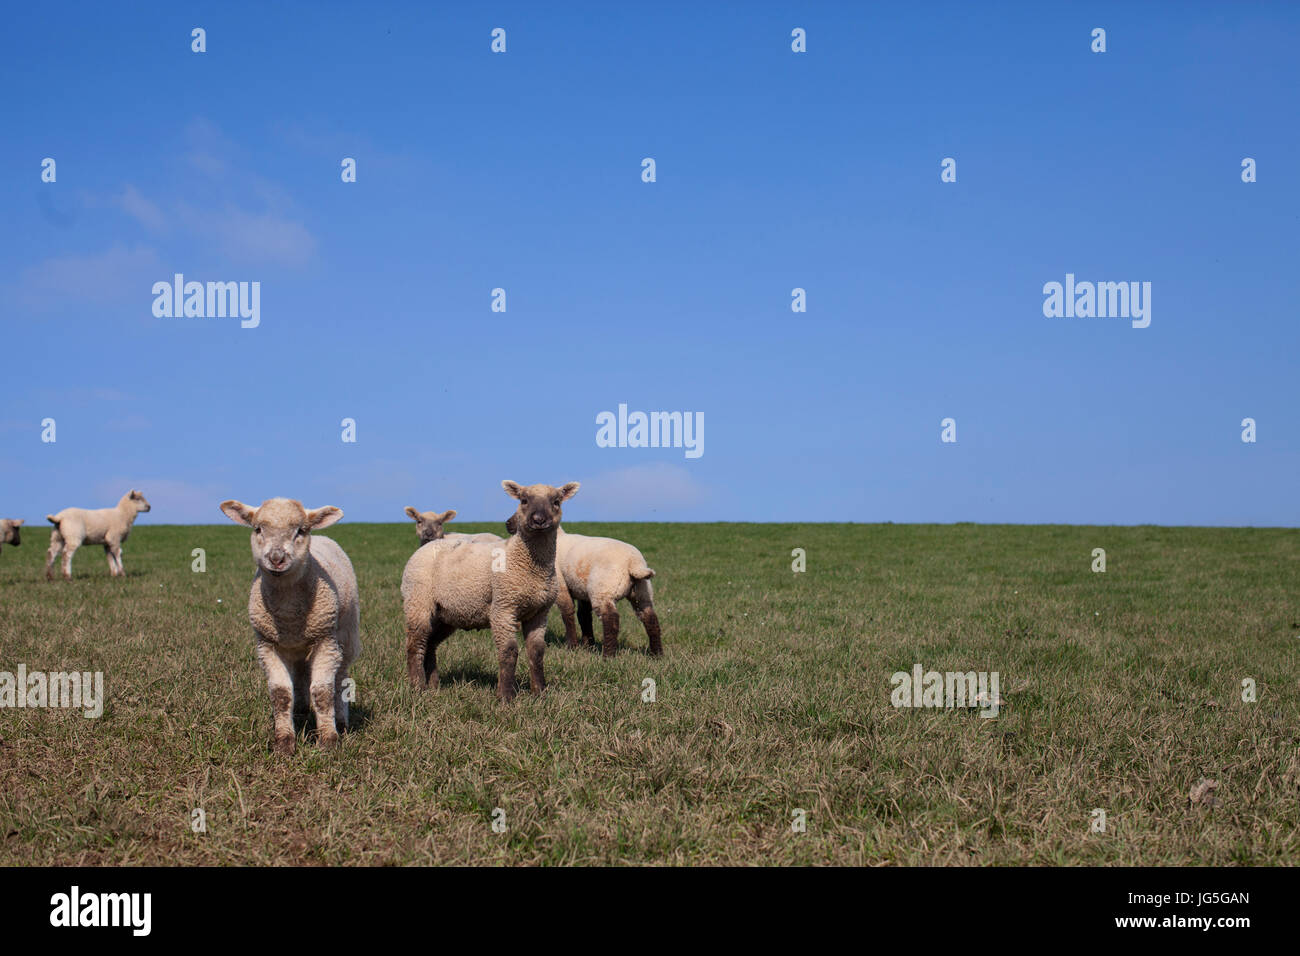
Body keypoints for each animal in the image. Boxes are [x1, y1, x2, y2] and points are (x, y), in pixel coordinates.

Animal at [220, 497, 360, 754]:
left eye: (300, 531)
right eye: (258, 529)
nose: (277, 558)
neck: (287, 608)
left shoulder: (325, 640)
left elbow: (323, 691)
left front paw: (328, 740)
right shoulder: (267, 645)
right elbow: (281, 693)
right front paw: (284, 741)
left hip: (345, 636)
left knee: (340, 678)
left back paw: (341, 721)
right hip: (297, 646)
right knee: (301, 673)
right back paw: (302, 711)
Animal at [401, 480, 578, 702]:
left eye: (556, 502)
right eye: (524, 500)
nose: (538, 520)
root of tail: (425, 547)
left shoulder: (539, 612)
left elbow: (537, 651)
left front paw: (539, 693)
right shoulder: (503, 607)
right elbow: (509, 651)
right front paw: (506, 696)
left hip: (446, 613)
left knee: (430, 643)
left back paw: (433, 685)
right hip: (418, 601)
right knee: (415, 643)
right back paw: (418, 687)